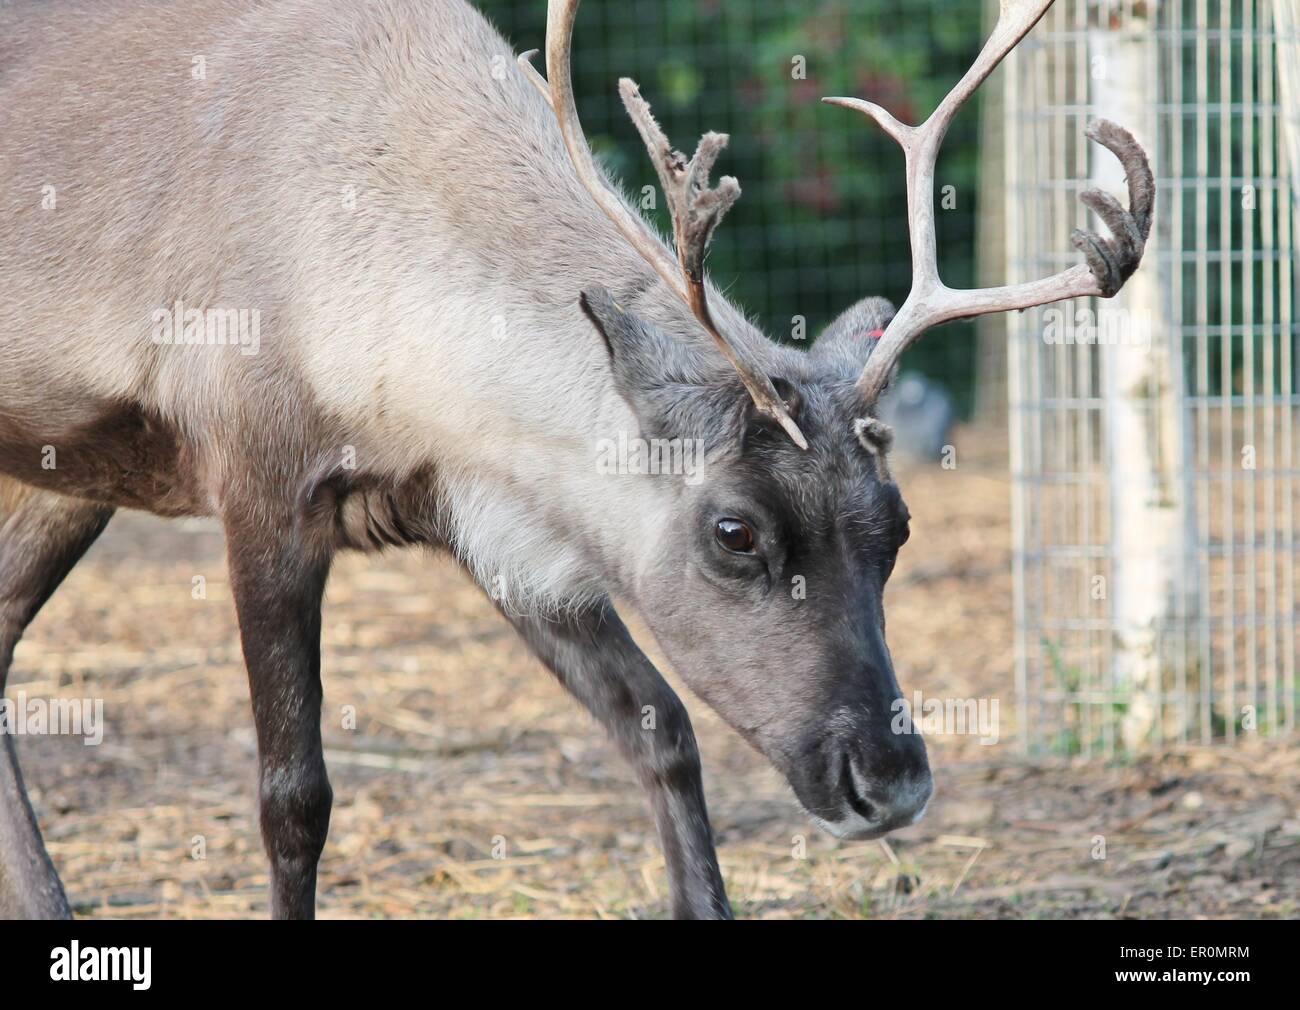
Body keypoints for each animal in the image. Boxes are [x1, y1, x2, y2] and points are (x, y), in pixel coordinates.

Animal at [0, 0, 1151, 919]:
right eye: (735, 530)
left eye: (899, 524)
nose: (893, 780)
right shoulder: (263, 485)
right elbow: (295, 796)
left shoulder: (490, 513)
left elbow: (660, 726)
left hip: (61, 477)